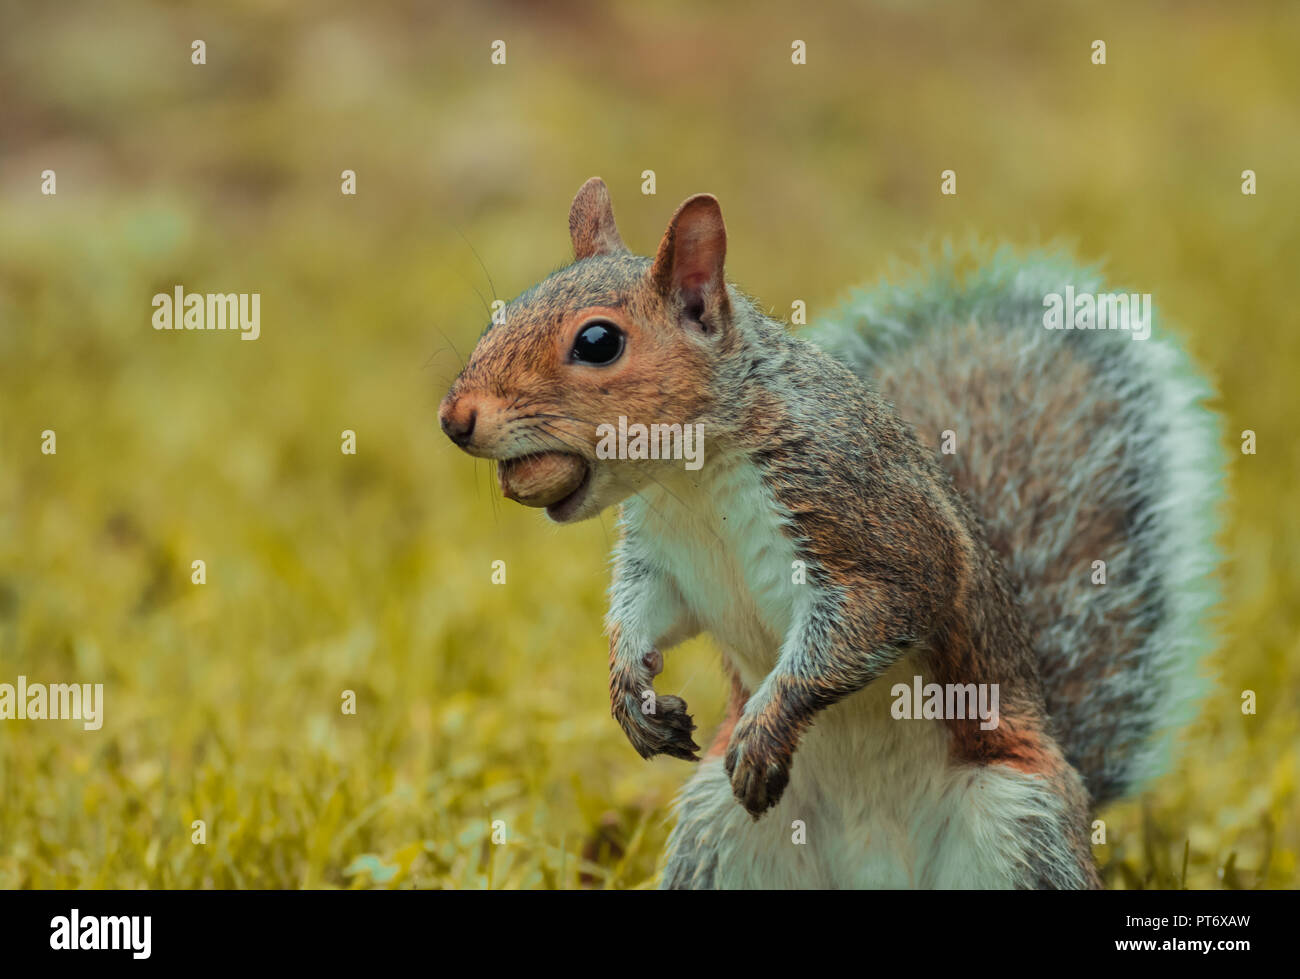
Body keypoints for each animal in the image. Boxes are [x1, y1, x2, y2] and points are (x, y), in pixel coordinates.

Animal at [439, 177, 1223, 888]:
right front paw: (628, 688)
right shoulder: (663, 561)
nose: (454, 419)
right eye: (500, 316)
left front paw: (766, 724)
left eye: (598, 342)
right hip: (716, 834)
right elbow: (645, 613)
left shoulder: (863, 519)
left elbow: (866, 619)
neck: (691, 481)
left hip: (1014, 819)